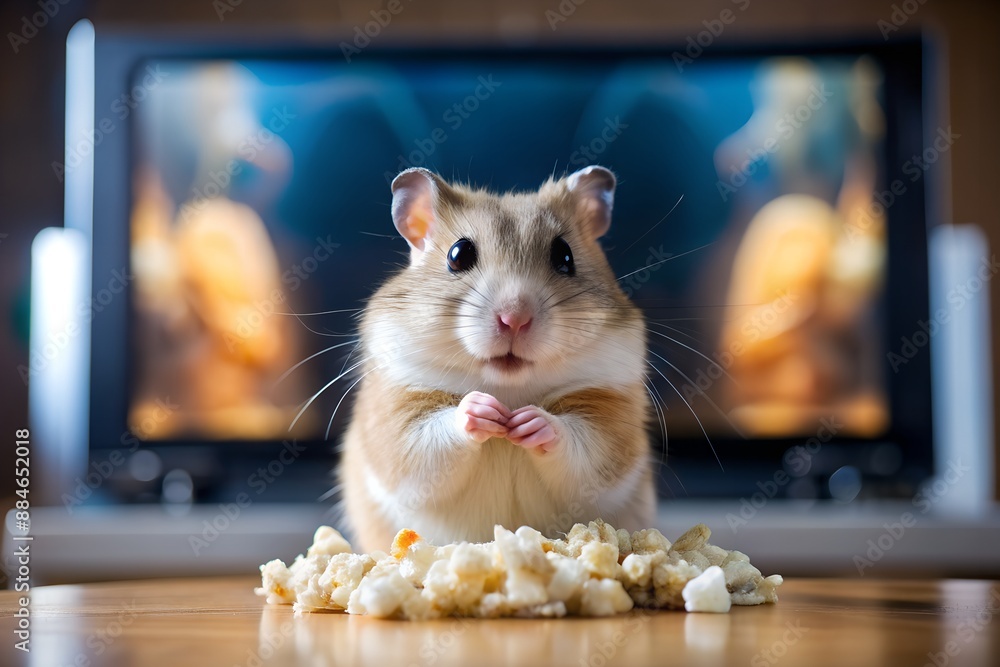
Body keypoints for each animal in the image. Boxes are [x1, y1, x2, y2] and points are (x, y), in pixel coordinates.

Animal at [340, 165, 654, 552]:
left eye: (564, 257)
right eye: (458, 255)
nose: (514, 318)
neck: (508, 387)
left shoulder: (609, 416)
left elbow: (578, 439)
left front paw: (526, 422)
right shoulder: (398, 416)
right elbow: (432, 437)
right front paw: (485, 411)